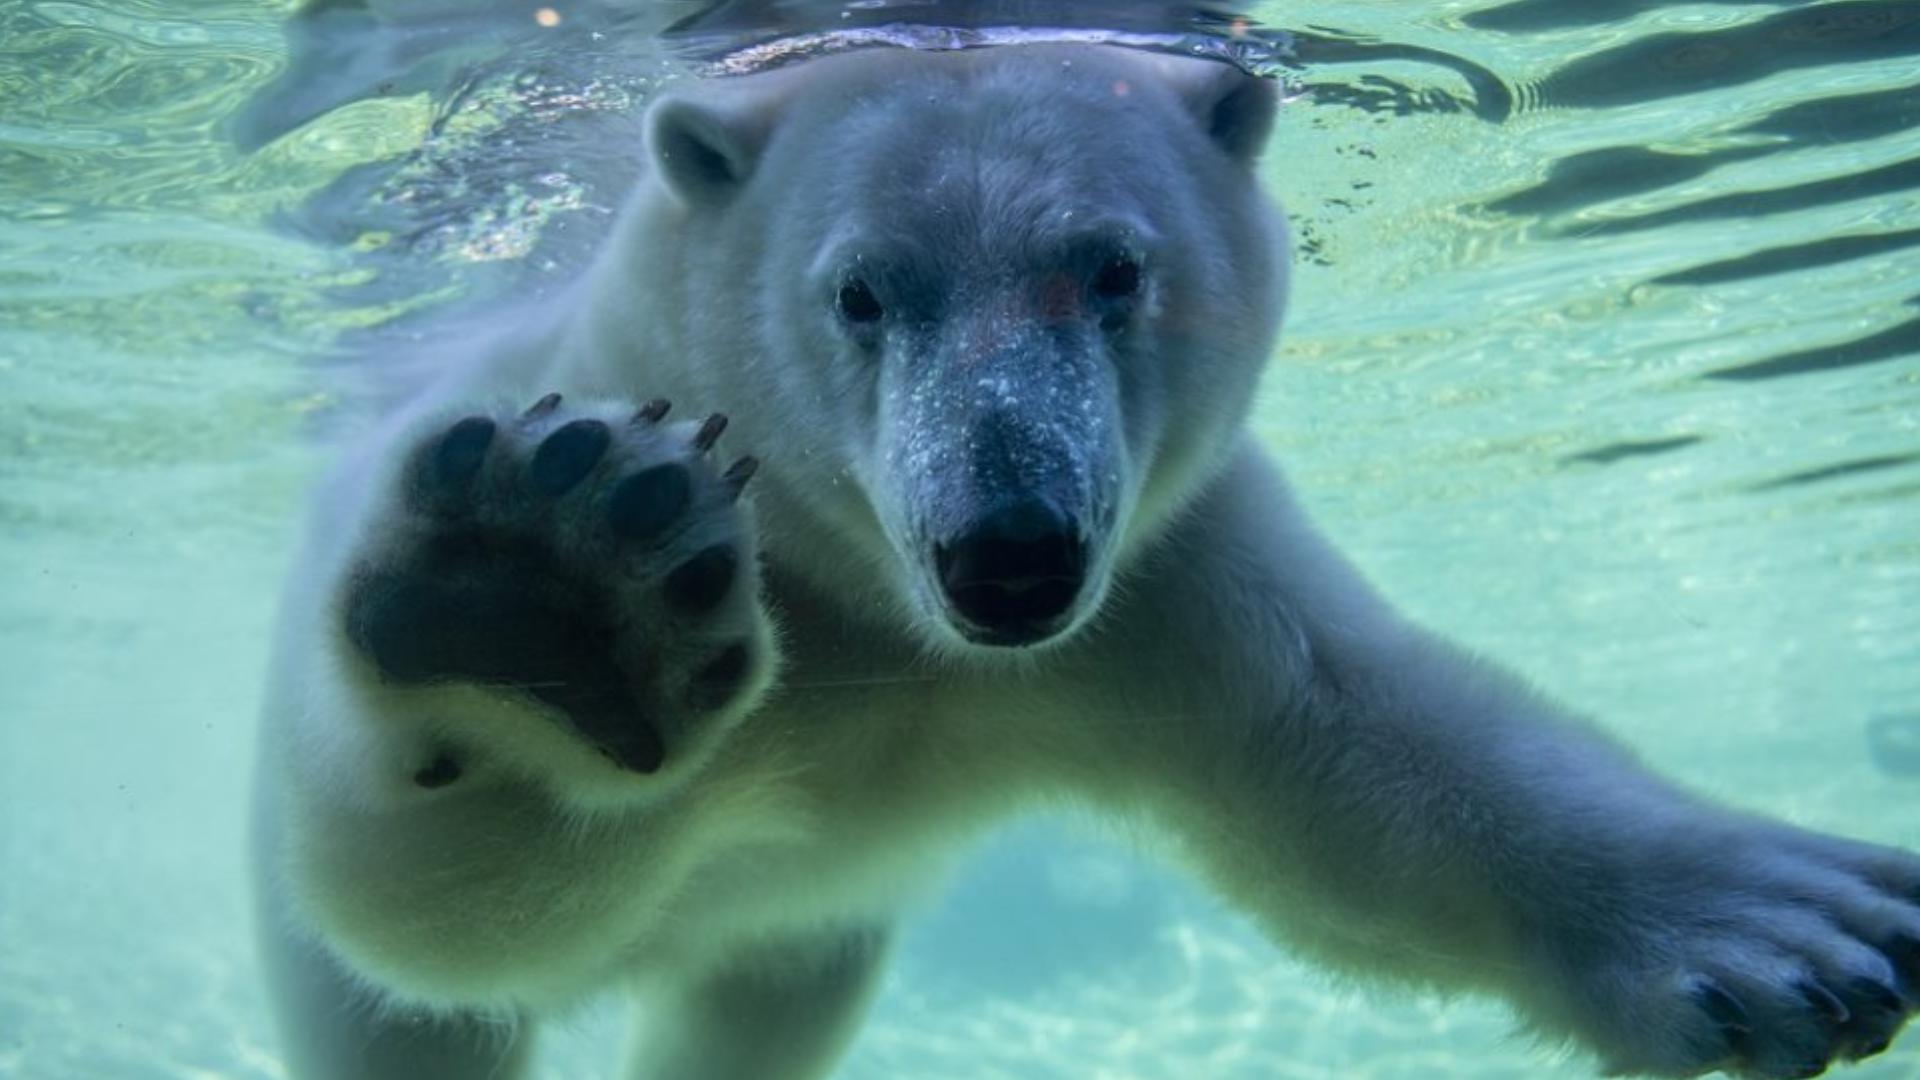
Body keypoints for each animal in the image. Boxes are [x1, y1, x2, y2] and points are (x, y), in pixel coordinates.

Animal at [252, 42, 1920, 1080]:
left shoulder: (1162, 593)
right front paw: (549, 601)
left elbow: (1364, 772)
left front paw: (1796, 935)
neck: (866, 603)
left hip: (808, 951)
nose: (1010, 555)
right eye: (862, 293)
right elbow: (445, 921)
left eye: (1114, 269)